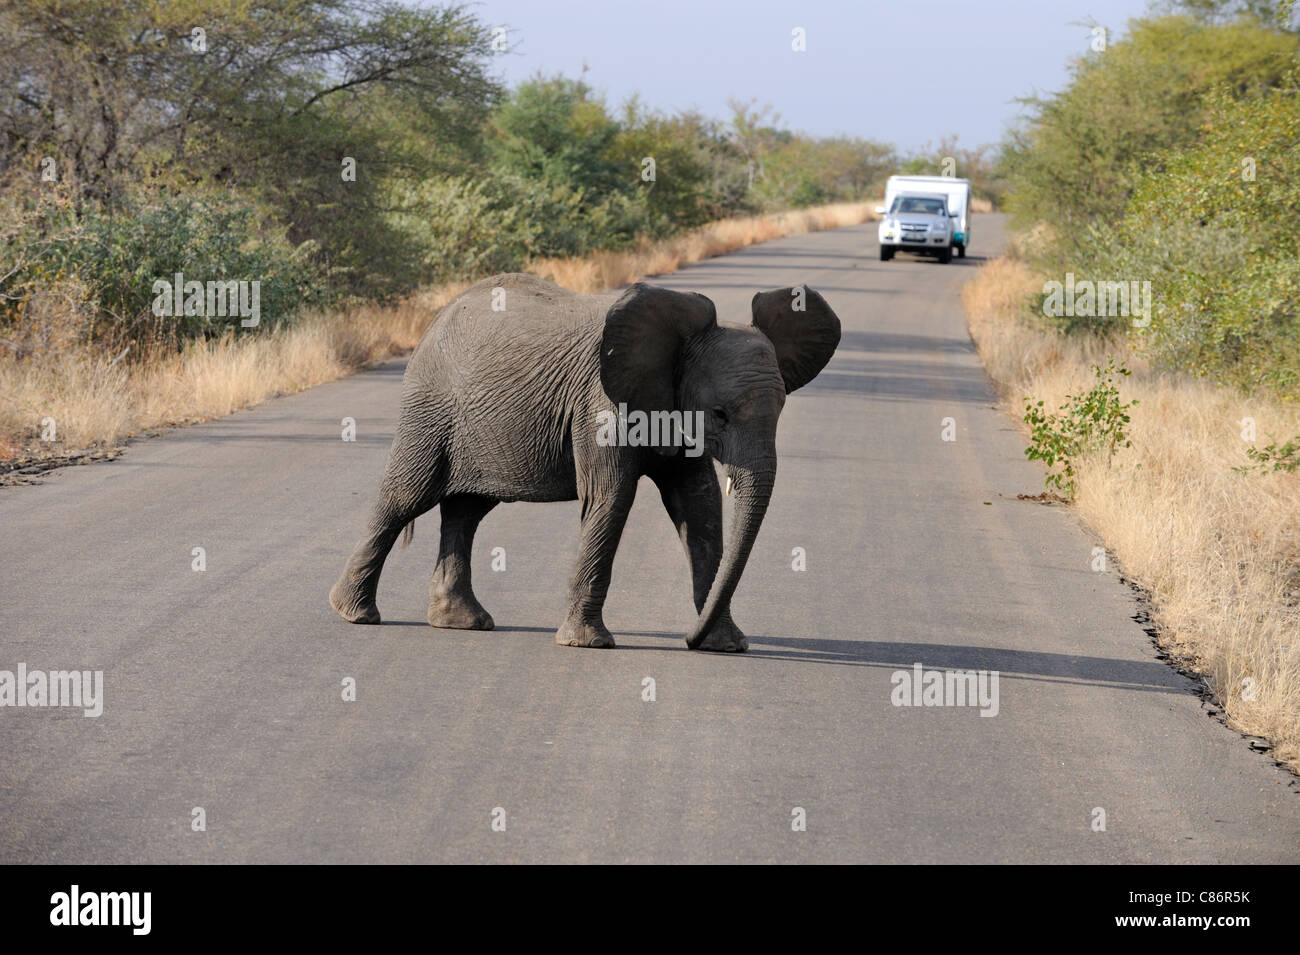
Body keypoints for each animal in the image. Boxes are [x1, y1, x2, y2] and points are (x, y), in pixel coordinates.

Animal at [329, 272, 841, 651]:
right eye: (719, 414)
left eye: (782, 408)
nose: (686, 640)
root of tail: (438, 317)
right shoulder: (602, 404)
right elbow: (612, 499)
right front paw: (587, 643)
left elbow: (700, 506)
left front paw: (726, 645)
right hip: (430, 406)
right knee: (405, 498)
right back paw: (353, 614)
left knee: (467, 509)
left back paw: (461, 622)